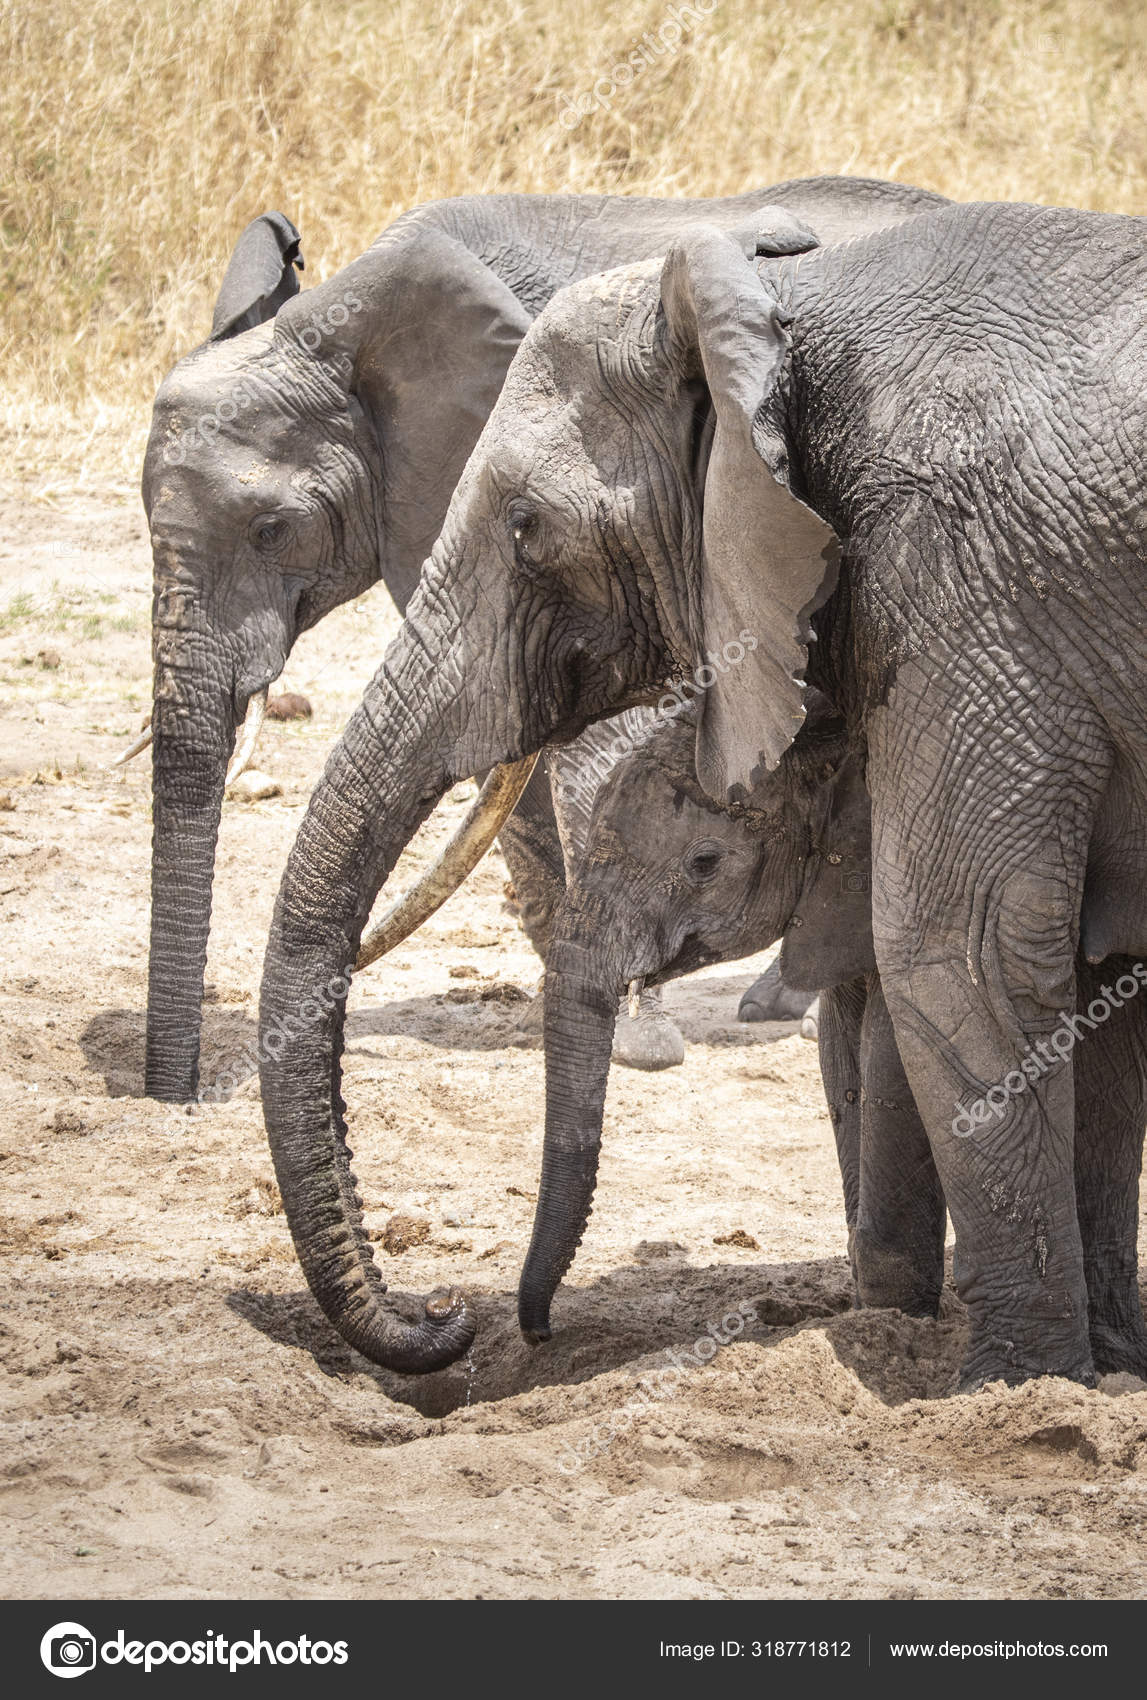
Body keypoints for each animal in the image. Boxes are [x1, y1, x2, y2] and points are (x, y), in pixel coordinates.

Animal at [257, 195, 1147, 1390]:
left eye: (526, 527)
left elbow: (959, 947)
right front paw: (1099, 1370)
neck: (782, 313)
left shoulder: (969, 584)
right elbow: (1096, 976)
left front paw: (1012, 1387)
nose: (455, 1316)